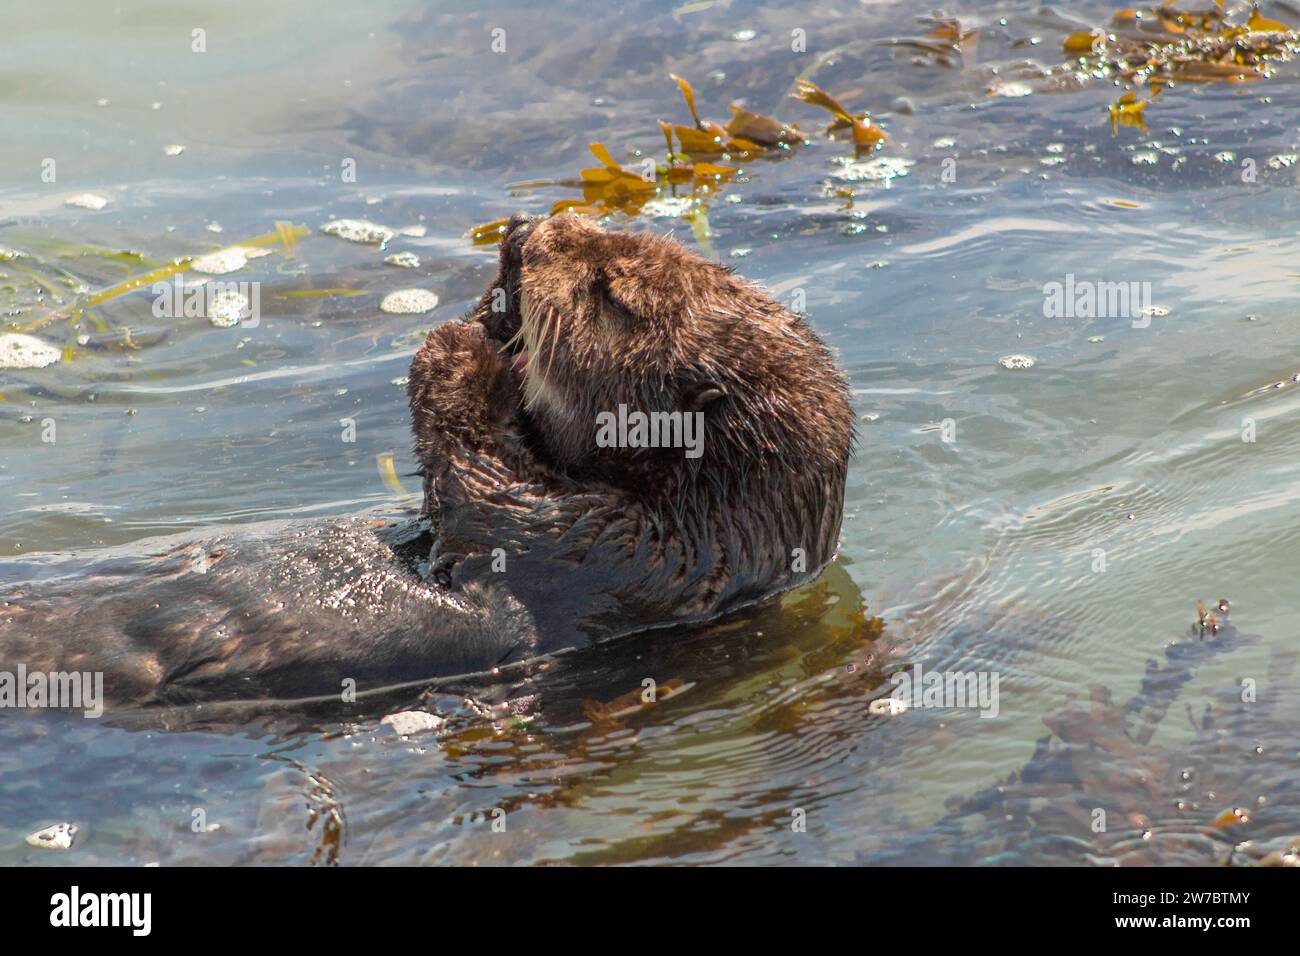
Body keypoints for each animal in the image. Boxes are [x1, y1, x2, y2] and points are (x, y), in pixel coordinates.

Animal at [0, 215, 853, 707]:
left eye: (609, 290)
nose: (529, 230)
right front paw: (486, 315)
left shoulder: (620, 558)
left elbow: (491, 498)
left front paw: (460, 348)